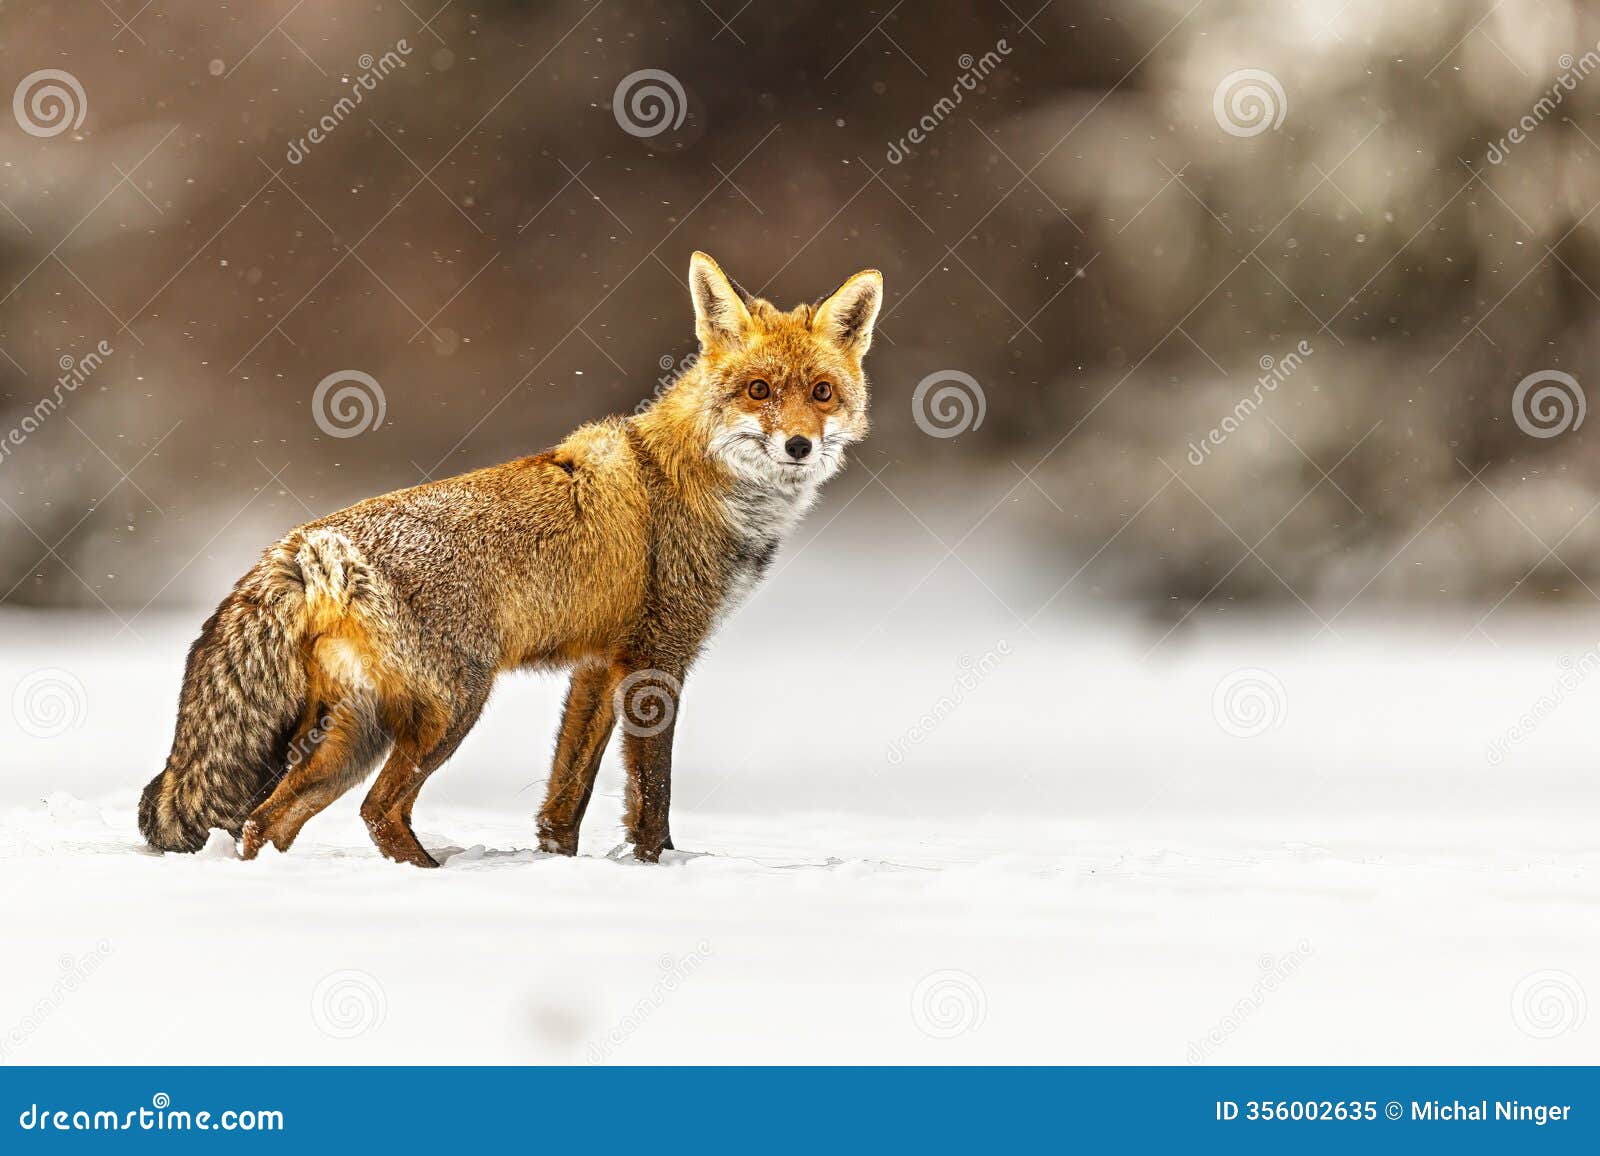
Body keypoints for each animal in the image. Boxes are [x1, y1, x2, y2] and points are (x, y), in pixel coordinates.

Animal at [137, 252, 882, 867]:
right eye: (759, 390)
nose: (798, 446)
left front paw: (557, 865)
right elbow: (652, 799)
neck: (699, 481)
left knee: (268, 823)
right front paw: (656, 871)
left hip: (359, 732)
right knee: (375, 812)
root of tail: (307, 545)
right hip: (452, 707)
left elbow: (566, 797)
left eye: (821, 393)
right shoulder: (657, 660)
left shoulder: (598, 666)